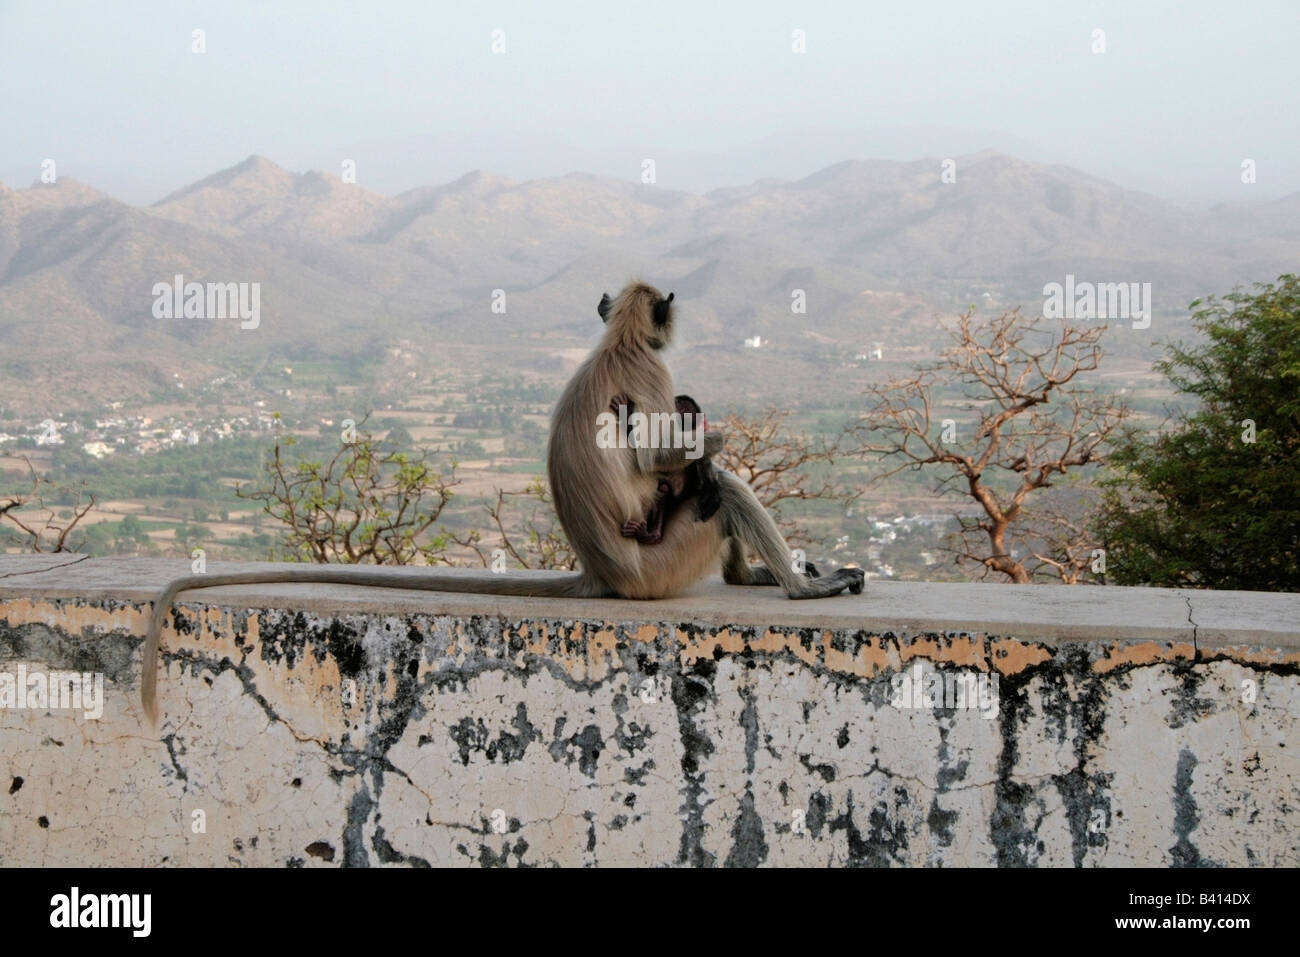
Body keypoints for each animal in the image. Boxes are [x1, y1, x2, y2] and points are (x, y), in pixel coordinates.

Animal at [138, 281, 863, 724]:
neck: (619, 342)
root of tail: (604, 572)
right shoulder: (656, 378)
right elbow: (659, 458)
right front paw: (707, 439)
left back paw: (757, 576)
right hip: (665, 562)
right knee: (719, 486)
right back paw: (797, 585)